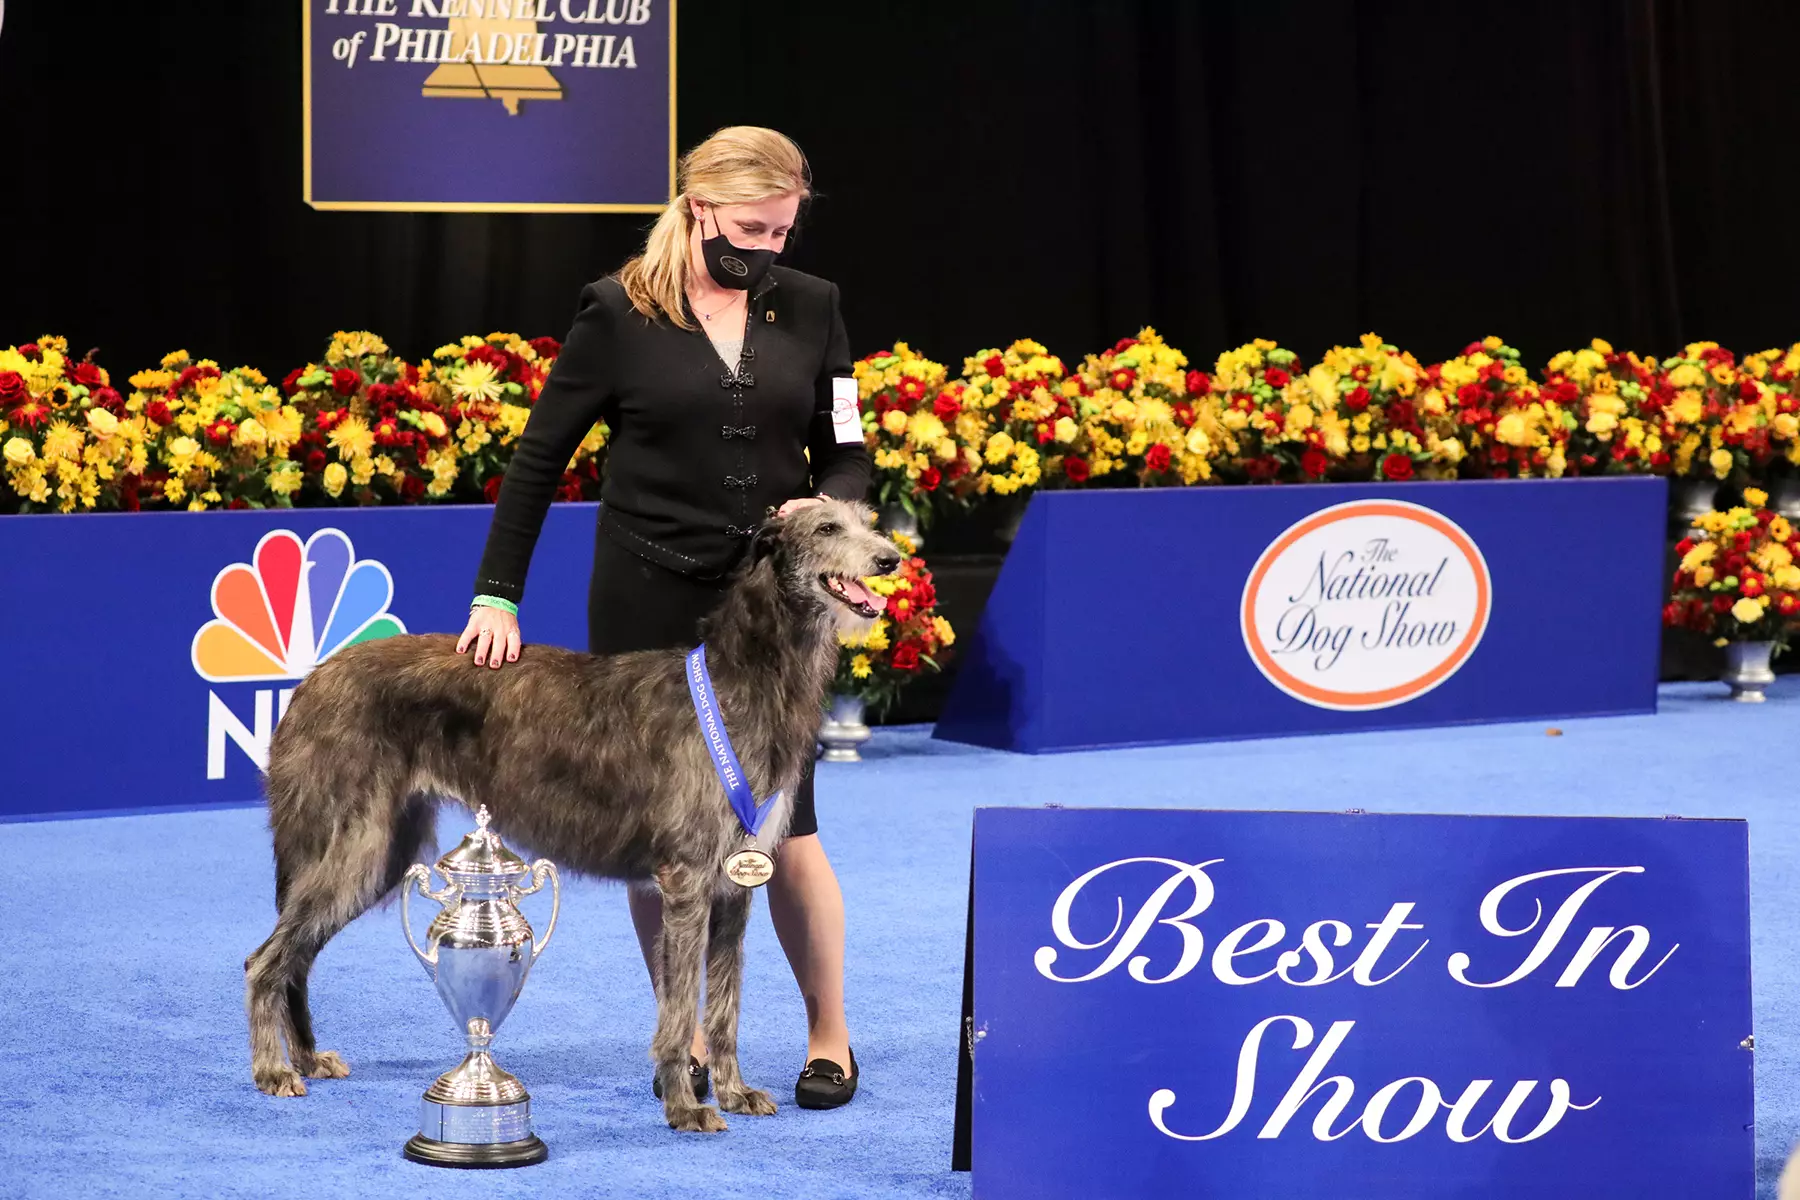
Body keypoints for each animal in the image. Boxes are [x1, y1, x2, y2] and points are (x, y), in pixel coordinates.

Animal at [243, 500, 900, 1137]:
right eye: (827, 527)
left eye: (868, 520)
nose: (891, 559)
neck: (743, 677)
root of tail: (313, 680)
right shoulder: (688, 880)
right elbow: (680, 1008)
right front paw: (684, 1107)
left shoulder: (738, 879)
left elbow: (724, 1005)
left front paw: (735, 1092)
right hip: (359, 842)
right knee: (265, 960)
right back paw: (273, 1068)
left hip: (384, 850)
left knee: (297, 956)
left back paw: (306, 1057)